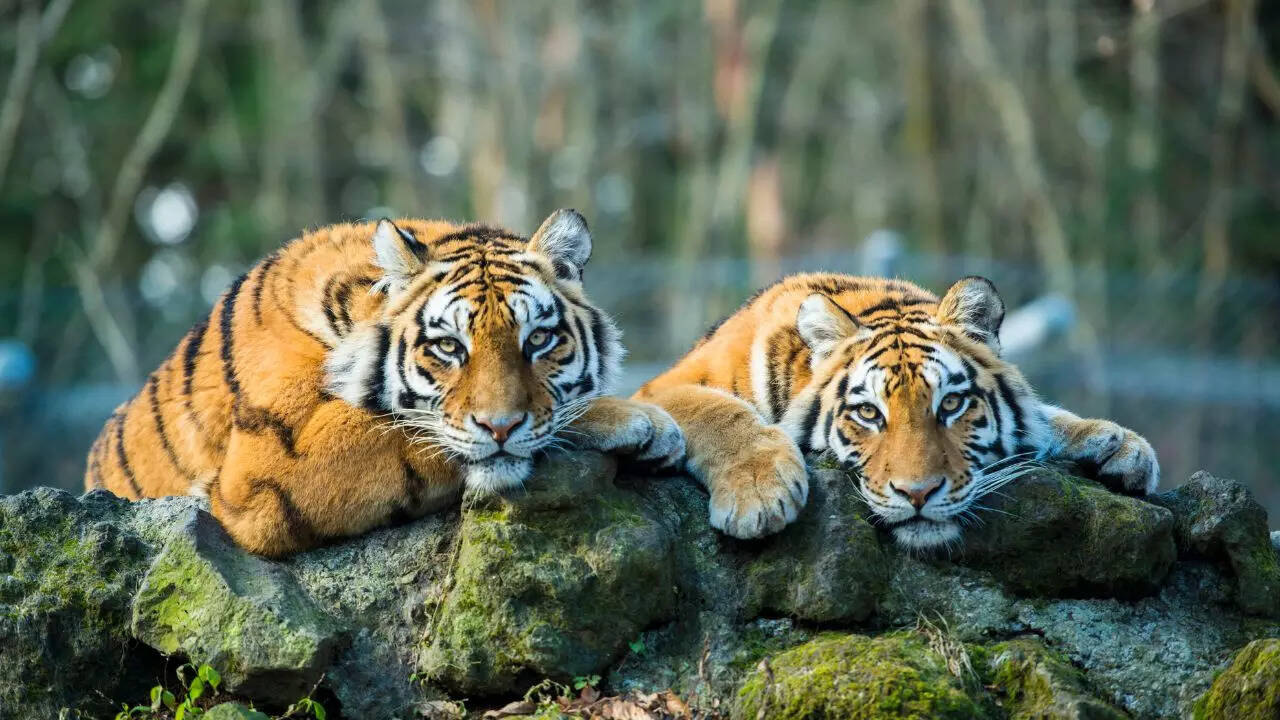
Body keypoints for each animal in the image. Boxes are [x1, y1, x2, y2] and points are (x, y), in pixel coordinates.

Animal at [84, 209, 685, 557]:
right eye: (449, 347)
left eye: (538, 339)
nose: (501, 428)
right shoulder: (264, 470)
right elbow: (408, 430)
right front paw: (639, 419)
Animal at [635, 273, 1159, 549]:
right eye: (868, 414)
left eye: (951, 404)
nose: (918, 494)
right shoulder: (659, 389)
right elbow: (718, 410)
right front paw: (759, 494)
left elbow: (1045, 417)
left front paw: (1120, 444)